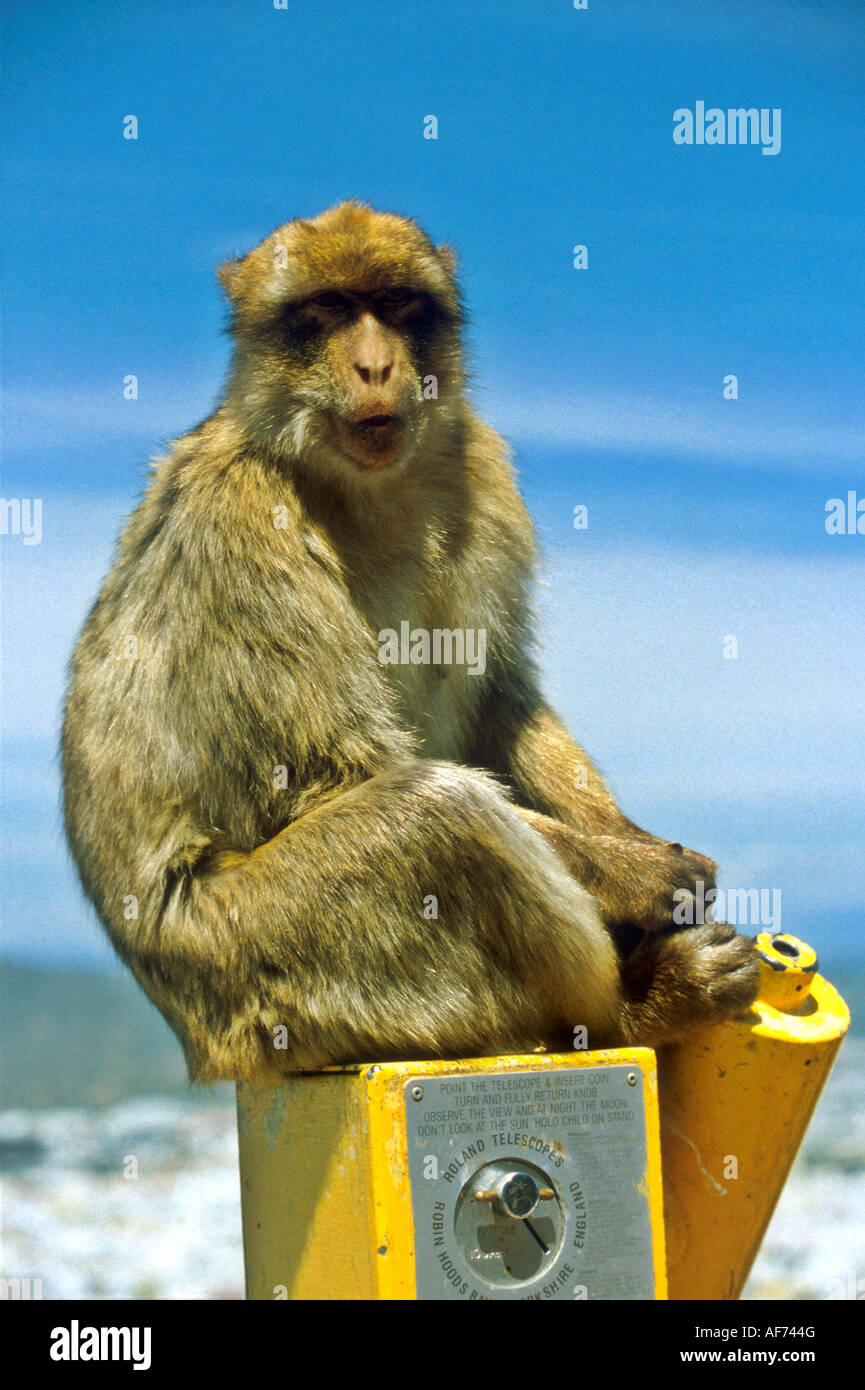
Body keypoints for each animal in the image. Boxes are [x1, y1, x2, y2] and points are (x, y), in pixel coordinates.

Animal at [62, 200, 759, 1083]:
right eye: (324, 312)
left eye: (395, 306)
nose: (371, 365)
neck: (363, 486)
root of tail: (205, 1048)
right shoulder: (241, 518)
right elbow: (346, 767)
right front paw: (640, 876)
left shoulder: (482, 471)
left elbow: (498, 701)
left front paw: (630, 839)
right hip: (271, 975)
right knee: (436, 815)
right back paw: (628, 1009)